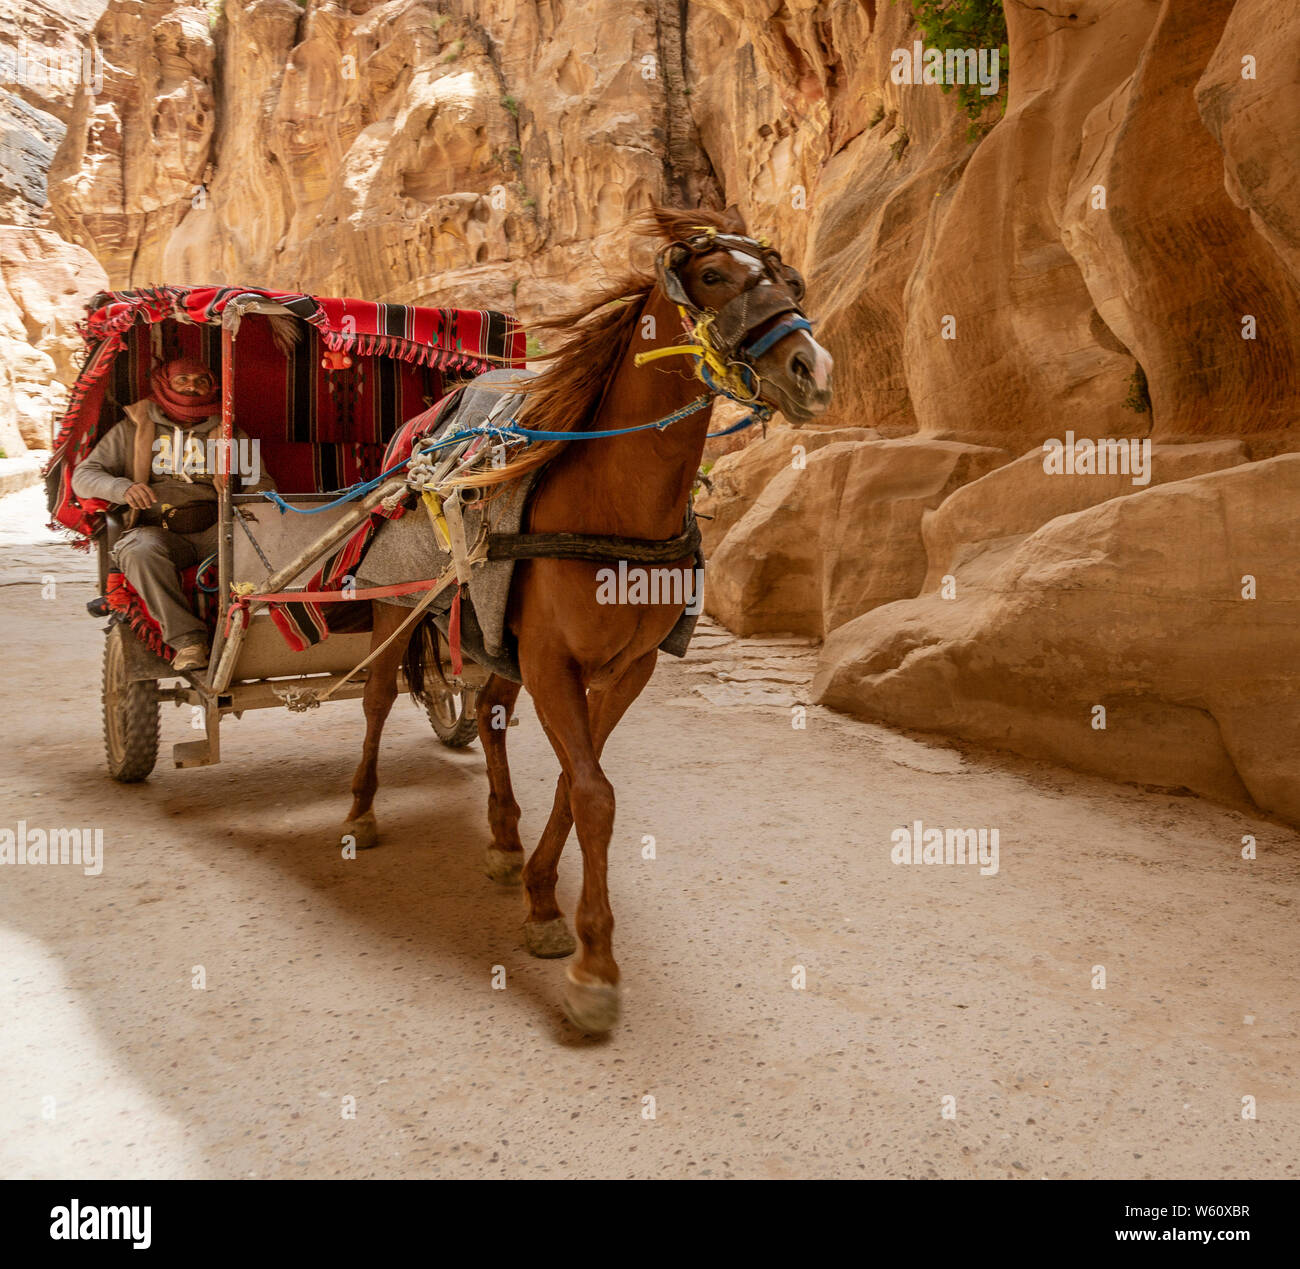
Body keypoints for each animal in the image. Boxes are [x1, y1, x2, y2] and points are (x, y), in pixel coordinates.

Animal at [341, 205, 833, 1031]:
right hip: (394, 606)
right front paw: (593, 965)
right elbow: (594, 793)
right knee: (377, 698)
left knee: (488, 711)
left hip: (491, 634)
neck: (613, 504)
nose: (812, 369)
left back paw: (503, 836)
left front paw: (543, 899)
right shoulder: (553, 664)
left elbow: (578, 784)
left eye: (792, 282)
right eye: (711, 275)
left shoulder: (623, 668)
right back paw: (359, 813)